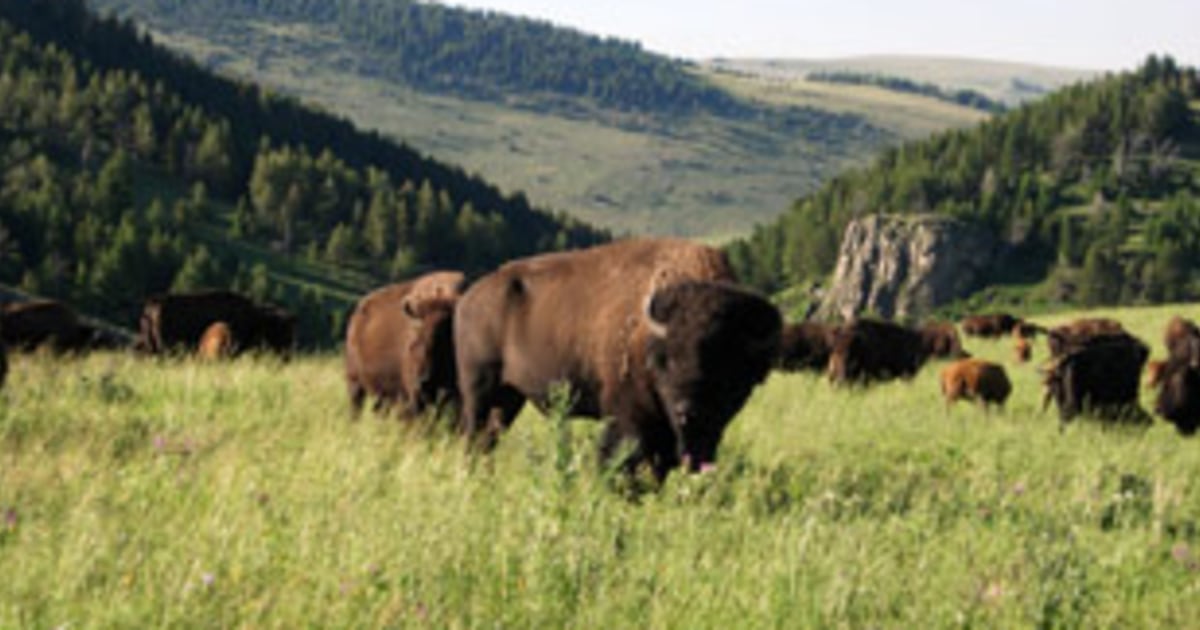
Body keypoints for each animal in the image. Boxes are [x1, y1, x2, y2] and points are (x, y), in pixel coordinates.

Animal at [344, 271, 465, 419]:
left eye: (447, 330)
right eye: (417, 332)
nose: (423, 379)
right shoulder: (414, 396)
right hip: (354, 381)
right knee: (356, 405)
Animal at [454, 238, 780, 480]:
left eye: (727, 367)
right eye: (667, 359)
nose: (688, 411)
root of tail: (469, 299)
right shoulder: (628, 416)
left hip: (509, 398)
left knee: (489, 439)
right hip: (481, 390)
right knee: (474, 437)